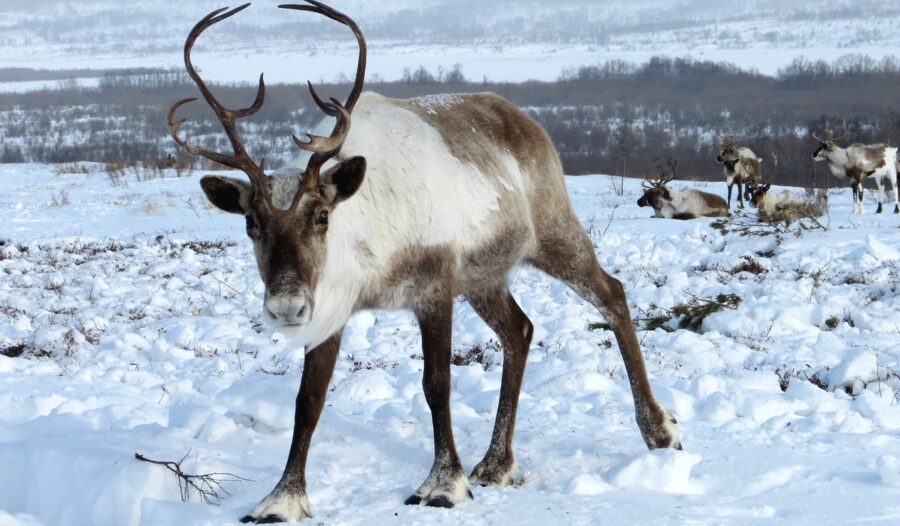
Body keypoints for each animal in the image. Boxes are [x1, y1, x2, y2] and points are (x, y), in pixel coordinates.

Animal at [167, 2, 680, 523]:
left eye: (322, 215)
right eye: (250, 221)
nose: (286, 307)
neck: (369, 255)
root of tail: (524, 119)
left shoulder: (434, 289)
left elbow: (437, 383)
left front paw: (443, 484)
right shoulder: (333, 308)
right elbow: (308, 399)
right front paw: (282, 498)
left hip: (552, 231)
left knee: (612, 292)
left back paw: (659, 429)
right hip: (483, 277)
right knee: (520, 330)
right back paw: (496, 463)